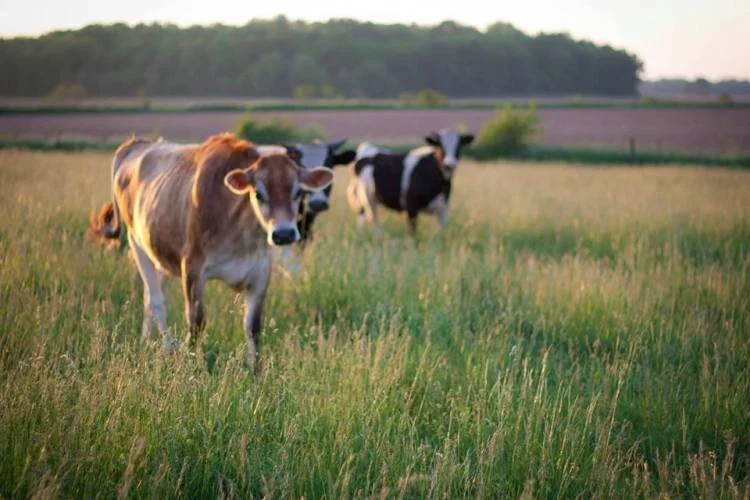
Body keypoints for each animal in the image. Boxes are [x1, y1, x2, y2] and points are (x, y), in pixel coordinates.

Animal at [88, 133, 334, 367]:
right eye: (258, 193)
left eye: (297, 192)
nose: (284, 234)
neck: (240, 232)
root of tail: (136, 144)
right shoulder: (192, 268)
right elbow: (196, 323)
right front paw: (190, 364)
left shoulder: (260, 273)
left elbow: (253, 327)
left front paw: (256, 371)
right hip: (137, 243)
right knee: (156, 301)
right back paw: (167, 347)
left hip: (160, 253)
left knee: (150, 299)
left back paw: (146, 341)